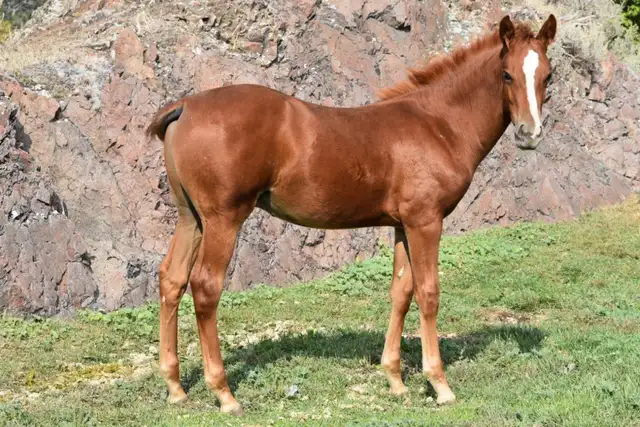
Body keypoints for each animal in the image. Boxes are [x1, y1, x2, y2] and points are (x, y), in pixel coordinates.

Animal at [145, 14, 557, 415]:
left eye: (547, 75)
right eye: (506, 74)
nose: (529, 134)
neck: (438, 124)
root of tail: (185, 107)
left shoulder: (402, 225)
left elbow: (401, 291)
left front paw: (395, 380)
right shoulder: (426, 221)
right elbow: (428, 293)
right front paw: (439, 384)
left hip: (191, 218)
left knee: (172, 279)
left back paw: (175, 388)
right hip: (223, 218)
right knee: (205, 287)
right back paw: (225, 395)